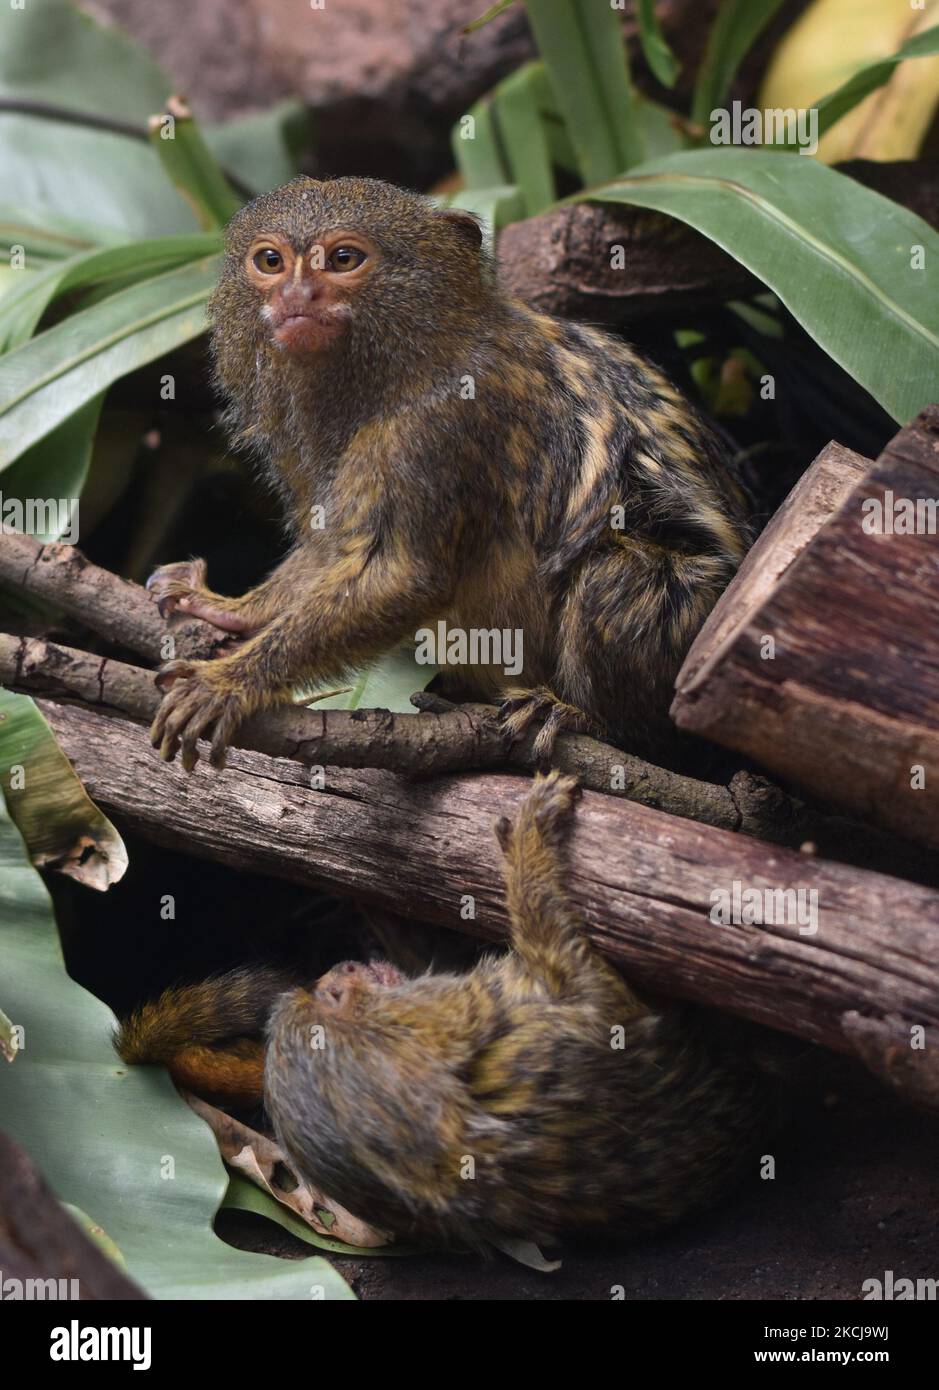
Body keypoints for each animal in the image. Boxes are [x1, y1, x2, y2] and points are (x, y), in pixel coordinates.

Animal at [147, 176, 751, 772]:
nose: (296, 296)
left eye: (343, 259)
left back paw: (585, 718)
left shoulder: (439, 427)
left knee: (614, 572)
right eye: (270, 261)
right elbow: (329, 548)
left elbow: (405, 574)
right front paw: (233, 609)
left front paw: (232, 682)